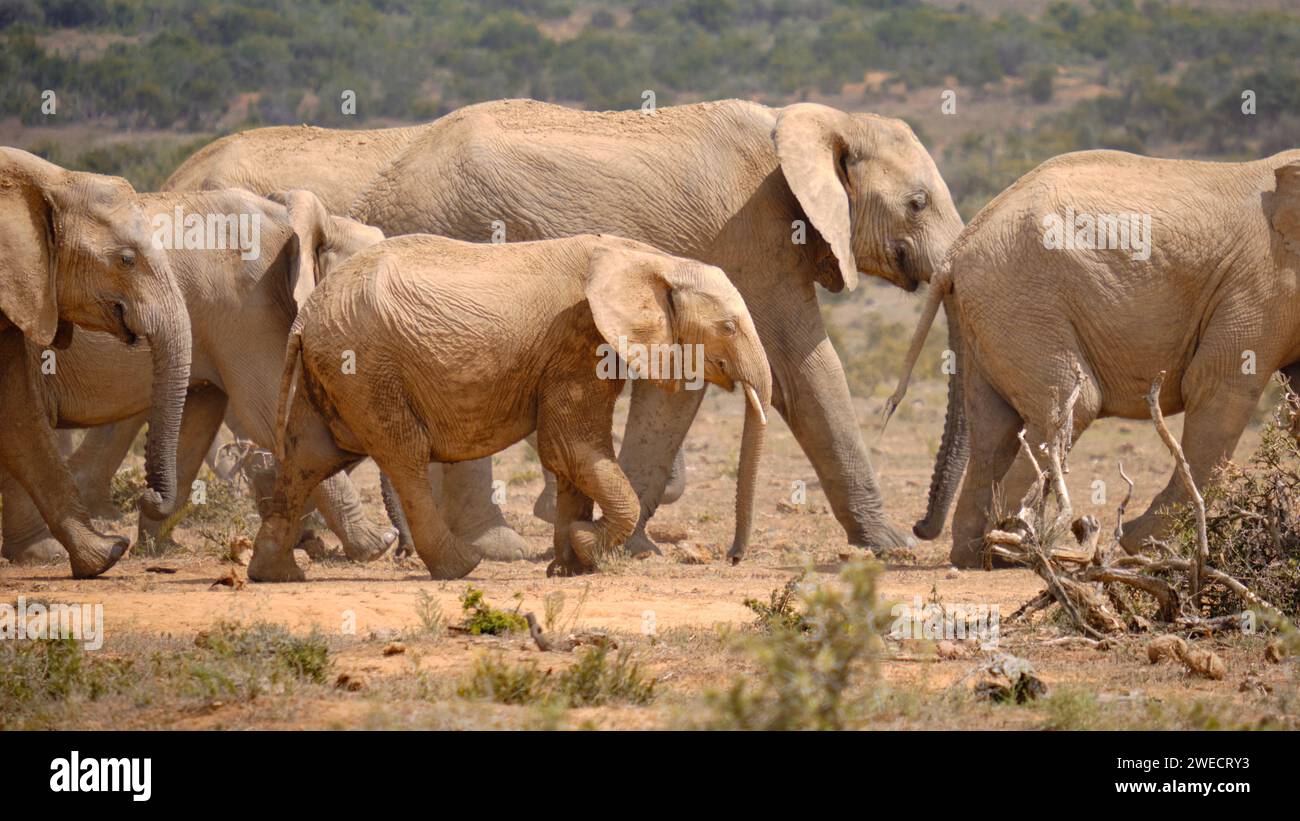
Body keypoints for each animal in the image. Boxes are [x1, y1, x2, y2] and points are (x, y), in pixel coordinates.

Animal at [0, 147, 192, 578]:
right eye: (126, 259)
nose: (148, 496)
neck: (50, 180)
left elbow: (18, 414)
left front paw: (99, 554)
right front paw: (107, 552)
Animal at [0, 188, 397, 564]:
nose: (146, 494)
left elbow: (197, 423)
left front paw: (158, 548)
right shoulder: (249, 305)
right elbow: (272, 416)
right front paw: (376, 546)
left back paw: (39, 551)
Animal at [247, 233, 771, 582]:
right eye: (727, 327)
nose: (733, 558)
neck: (648, 258)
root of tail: (304, 319)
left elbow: (568, 458)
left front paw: (569, 565)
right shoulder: (577, 340)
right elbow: (575, 447)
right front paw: (586, 544)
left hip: (334, 372)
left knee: (310, 456)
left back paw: (274, 575)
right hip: (366, 368)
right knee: (404, 456)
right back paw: (460, 567)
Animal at [888, 149, 1300, 567]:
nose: (918, 527)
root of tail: (958, 248)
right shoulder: (1258, 285)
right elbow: (1218, 386)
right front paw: (1144, 546)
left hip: (989, 314)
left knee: (993, 427)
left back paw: (976, 555)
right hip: (1022, 303)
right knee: (1069, 408)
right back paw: (1014, 549)